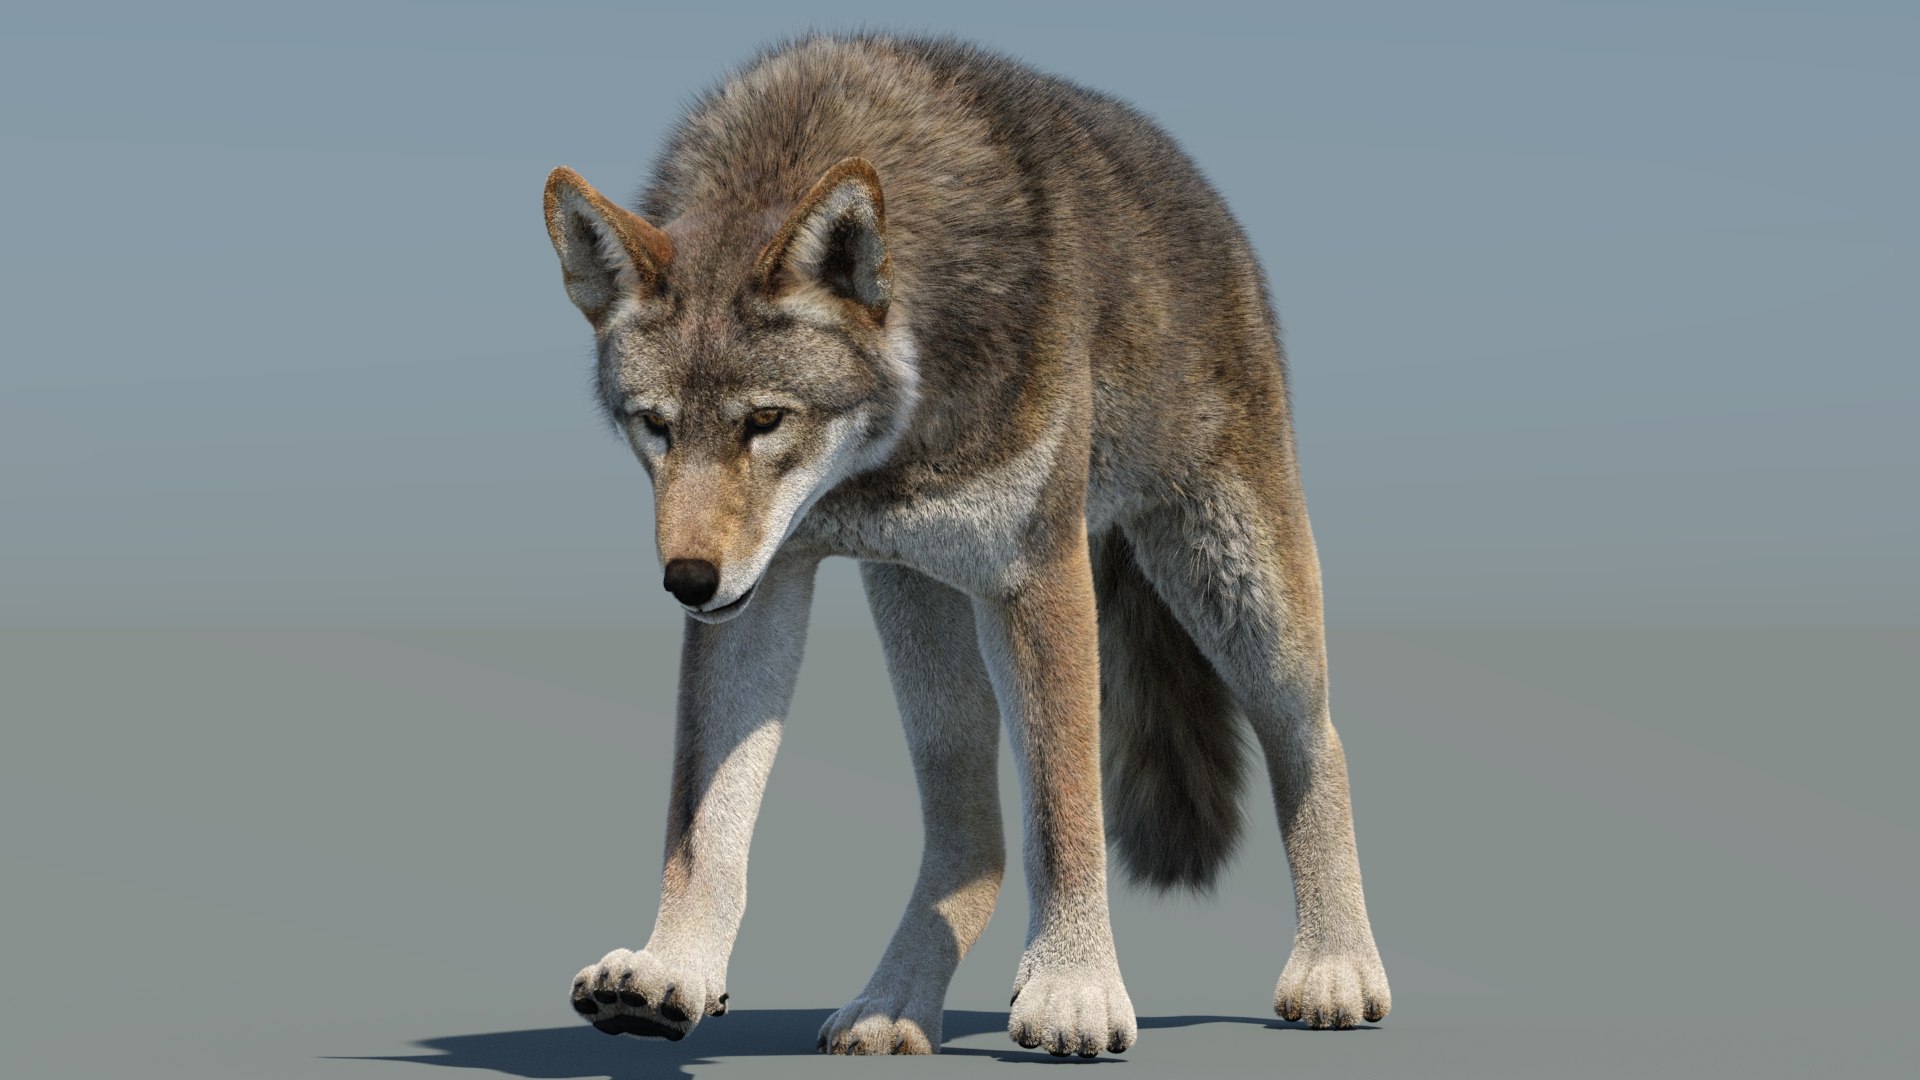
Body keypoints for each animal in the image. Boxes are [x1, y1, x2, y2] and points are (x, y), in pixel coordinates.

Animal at [541, 33, 1389, 1058]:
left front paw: (1073, 990)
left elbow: (1064, 814)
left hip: (1233, 586)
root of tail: (1202, 192)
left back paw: (1336, 969)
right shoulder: (766, 587)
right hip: (922, 612)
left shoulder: (1037, 575)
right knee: (972, 838)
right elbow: (703, 826)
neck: (888, 455)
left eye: (765, 421)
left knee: (1319, 742)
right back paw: (894, 1003)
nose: (687, 581)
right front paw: (670, 969)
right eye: (657, 428)